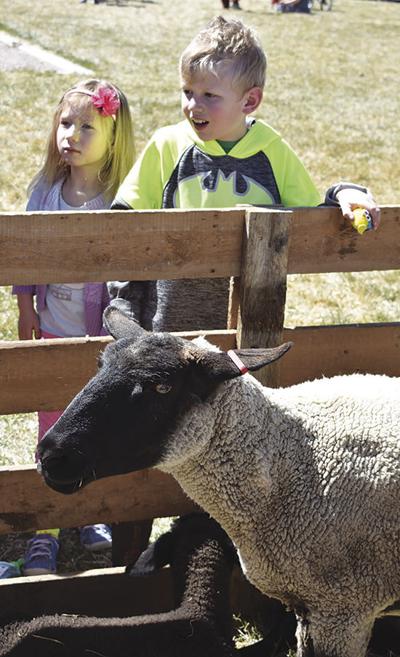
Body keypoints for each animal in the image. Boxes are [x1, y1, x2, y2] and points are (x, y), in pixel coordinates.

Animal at [36, 306, 400, 657]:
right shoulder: (307, 606)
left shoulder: (344, 610)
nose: (50, 455)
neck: (288, 459)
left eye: (162, 386)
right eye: (100, 365)